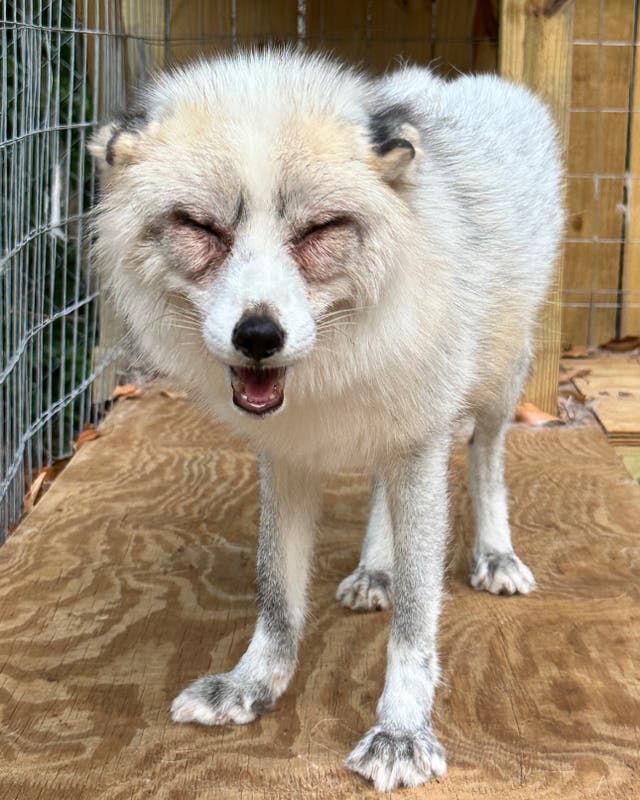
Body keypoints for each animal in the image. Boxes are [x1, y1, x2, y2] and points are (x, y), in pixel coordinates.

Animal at [89, 49, 563, 791]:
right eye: (202, 228)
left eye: (318, 231)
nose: (258, 335)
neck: (324, 383)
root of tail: (473, 85)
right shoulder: (287, 455)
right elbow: (276, 594)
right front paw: (253, 686)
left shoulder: (422, 442)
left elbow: (416, 624)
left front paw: (402, 731)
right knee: (379, 493)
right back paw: (375, 569)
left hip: (497, 380)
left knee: (487, 460)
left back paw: (494, 554)